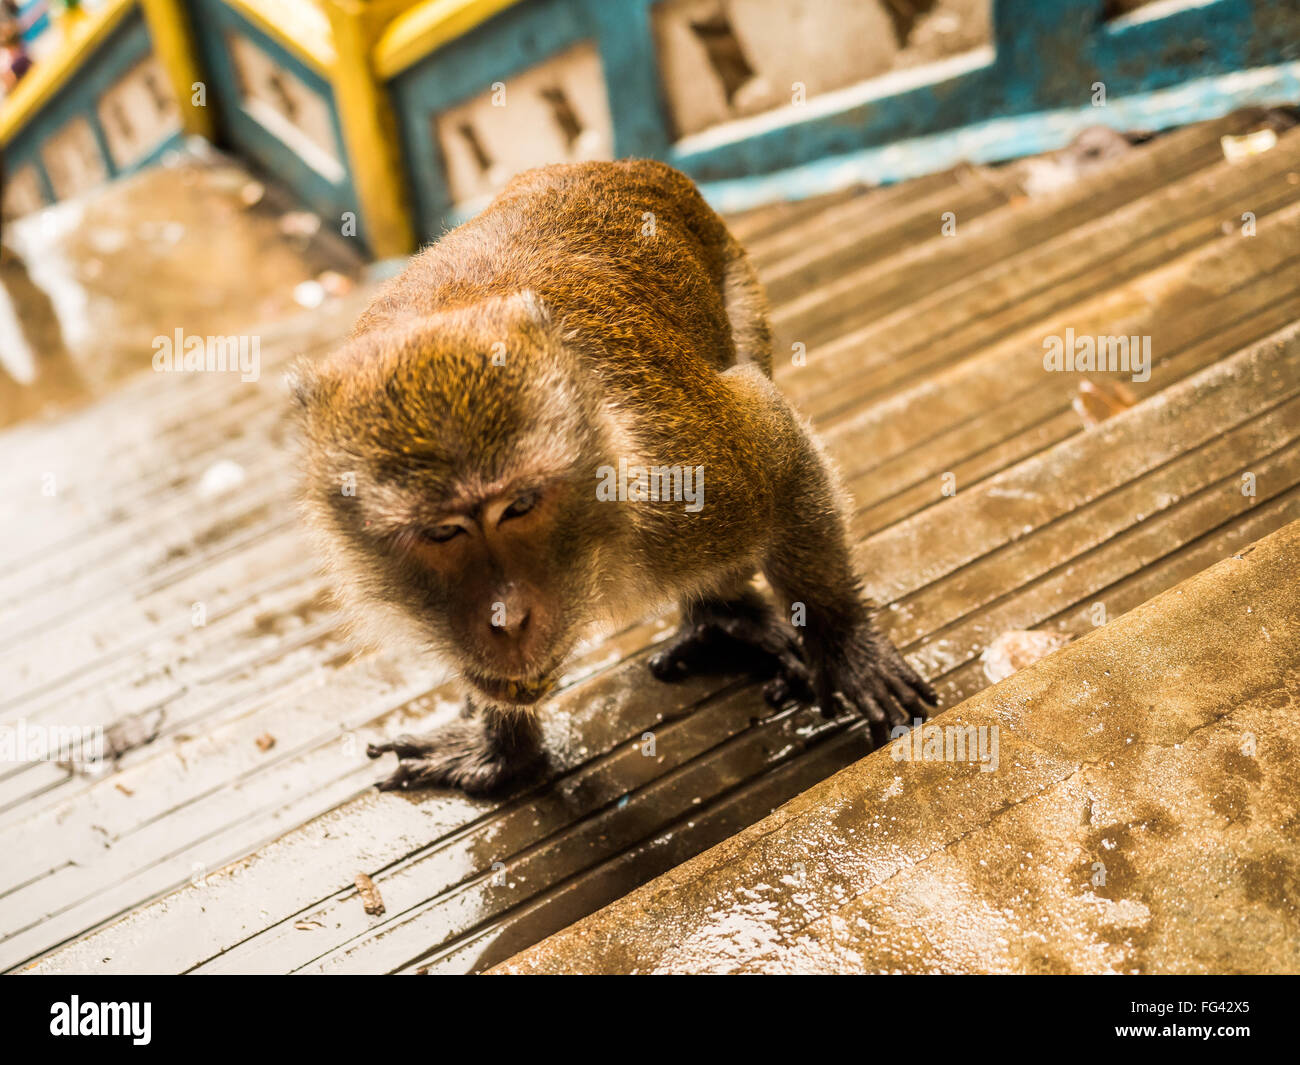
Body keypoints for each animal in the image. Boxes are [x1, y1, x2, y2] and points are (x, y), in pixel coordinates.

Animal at [292, 159, 937, 796]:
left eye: (519, 507)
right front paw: (505, 749)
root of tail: (617, 165)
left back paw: (725, 614)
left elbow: (777, 444)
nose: (508, 619)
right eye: (443, 533)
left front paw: (846, 645)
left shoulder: (679, 476)